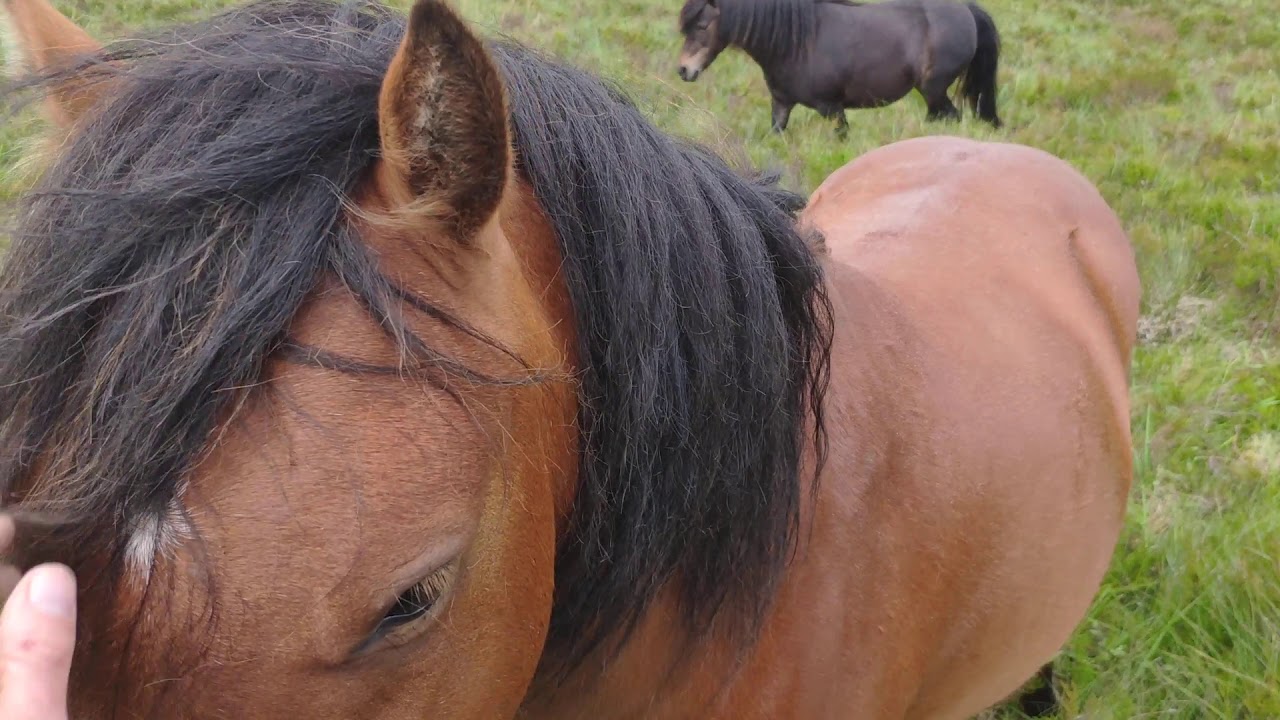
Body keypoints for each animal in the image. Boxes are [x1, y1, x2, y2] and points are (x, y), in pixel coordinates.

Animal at [677, 0, 1004, 136]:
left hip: (934, 89)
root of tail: (966, 9)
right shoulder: (781, 105)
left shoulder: (832, 108)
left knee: (951, 117)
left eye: (702, 26)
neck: (796, 42)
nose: (683, 70)